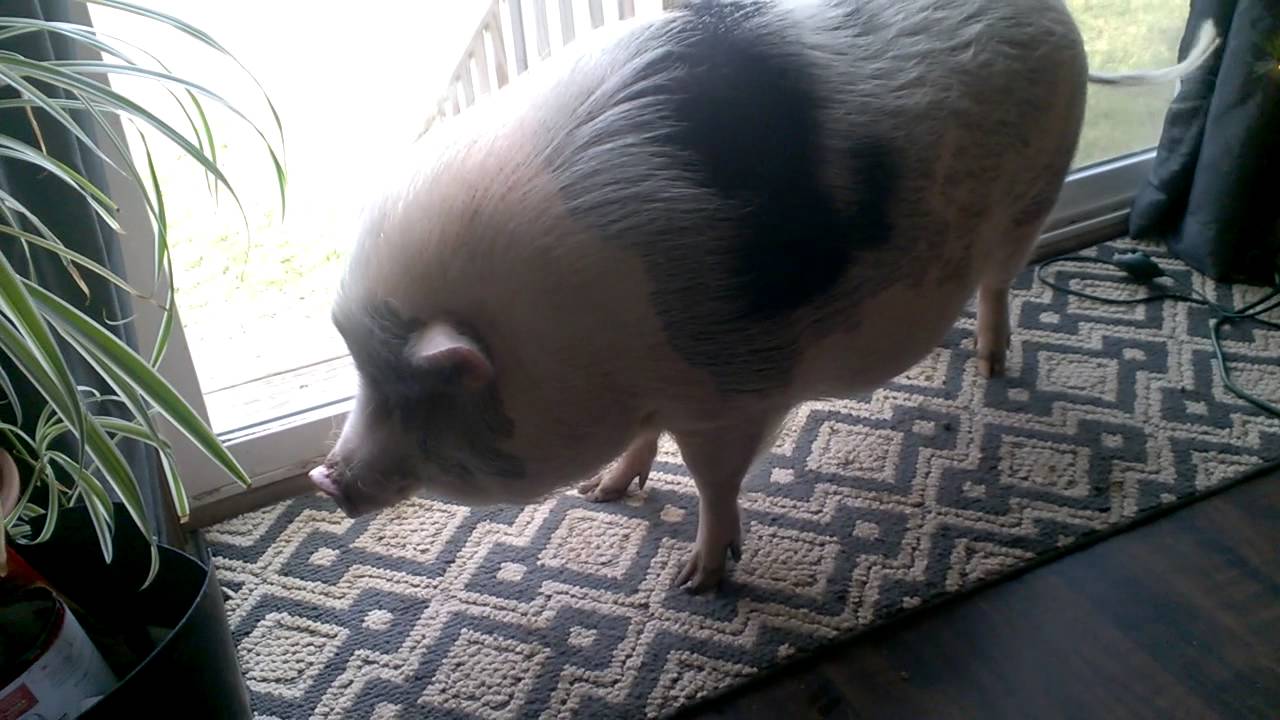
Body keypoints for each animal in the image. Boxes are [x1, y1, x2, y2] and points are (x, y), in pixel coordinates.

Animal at [308, 0, 1219, 592]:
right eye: (364, 376)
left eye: (420, 392)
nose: (325, 478)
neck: (573, 341)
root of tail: (1061, 19)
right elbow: (644, 448)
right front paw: (603, 494)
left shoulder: (732, 390)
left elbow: (715, 482)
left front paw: (696, 583)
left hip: (1032, 198)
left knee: (999, 282)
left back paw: (992, 367)